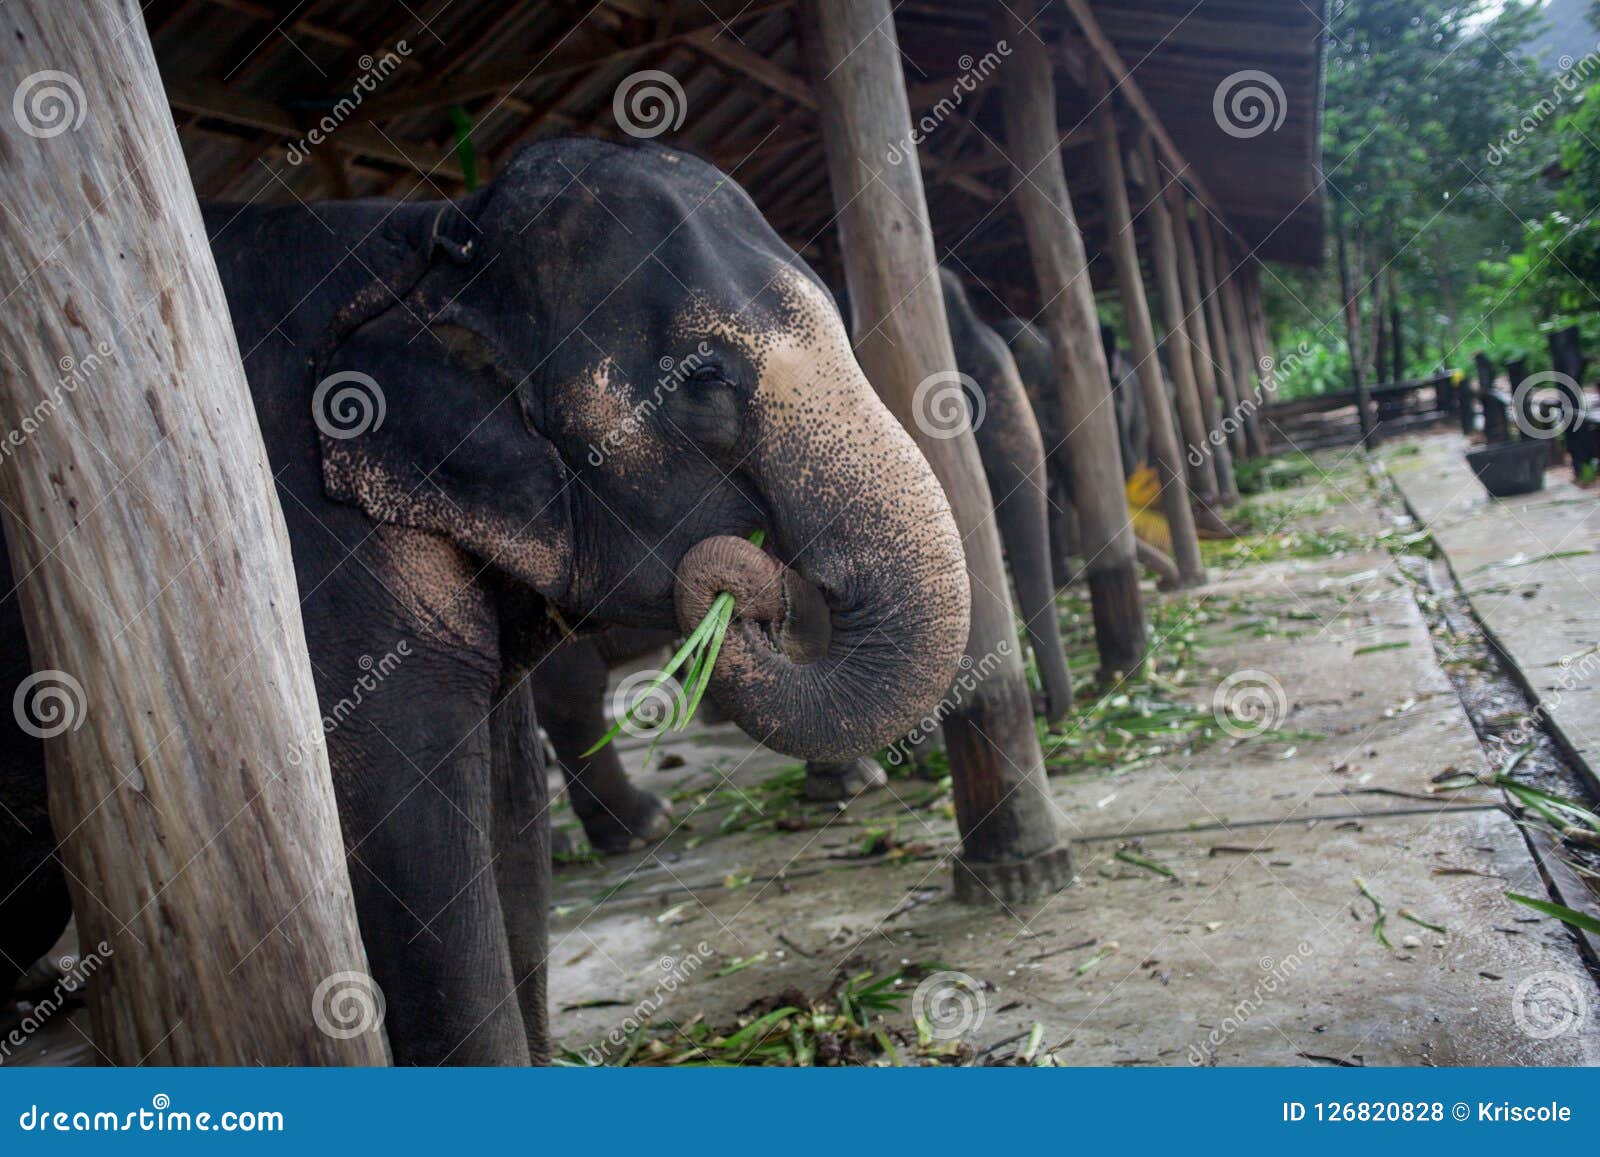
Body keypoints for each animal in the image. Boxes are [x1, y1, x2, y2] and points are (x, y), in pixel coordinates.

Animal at [0, 137, 970, 1064]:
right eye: (704, 377)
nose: (746, 582)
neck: (436, 238)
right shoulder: (315, 549)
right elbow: (409, 811)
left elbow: (506, 790)